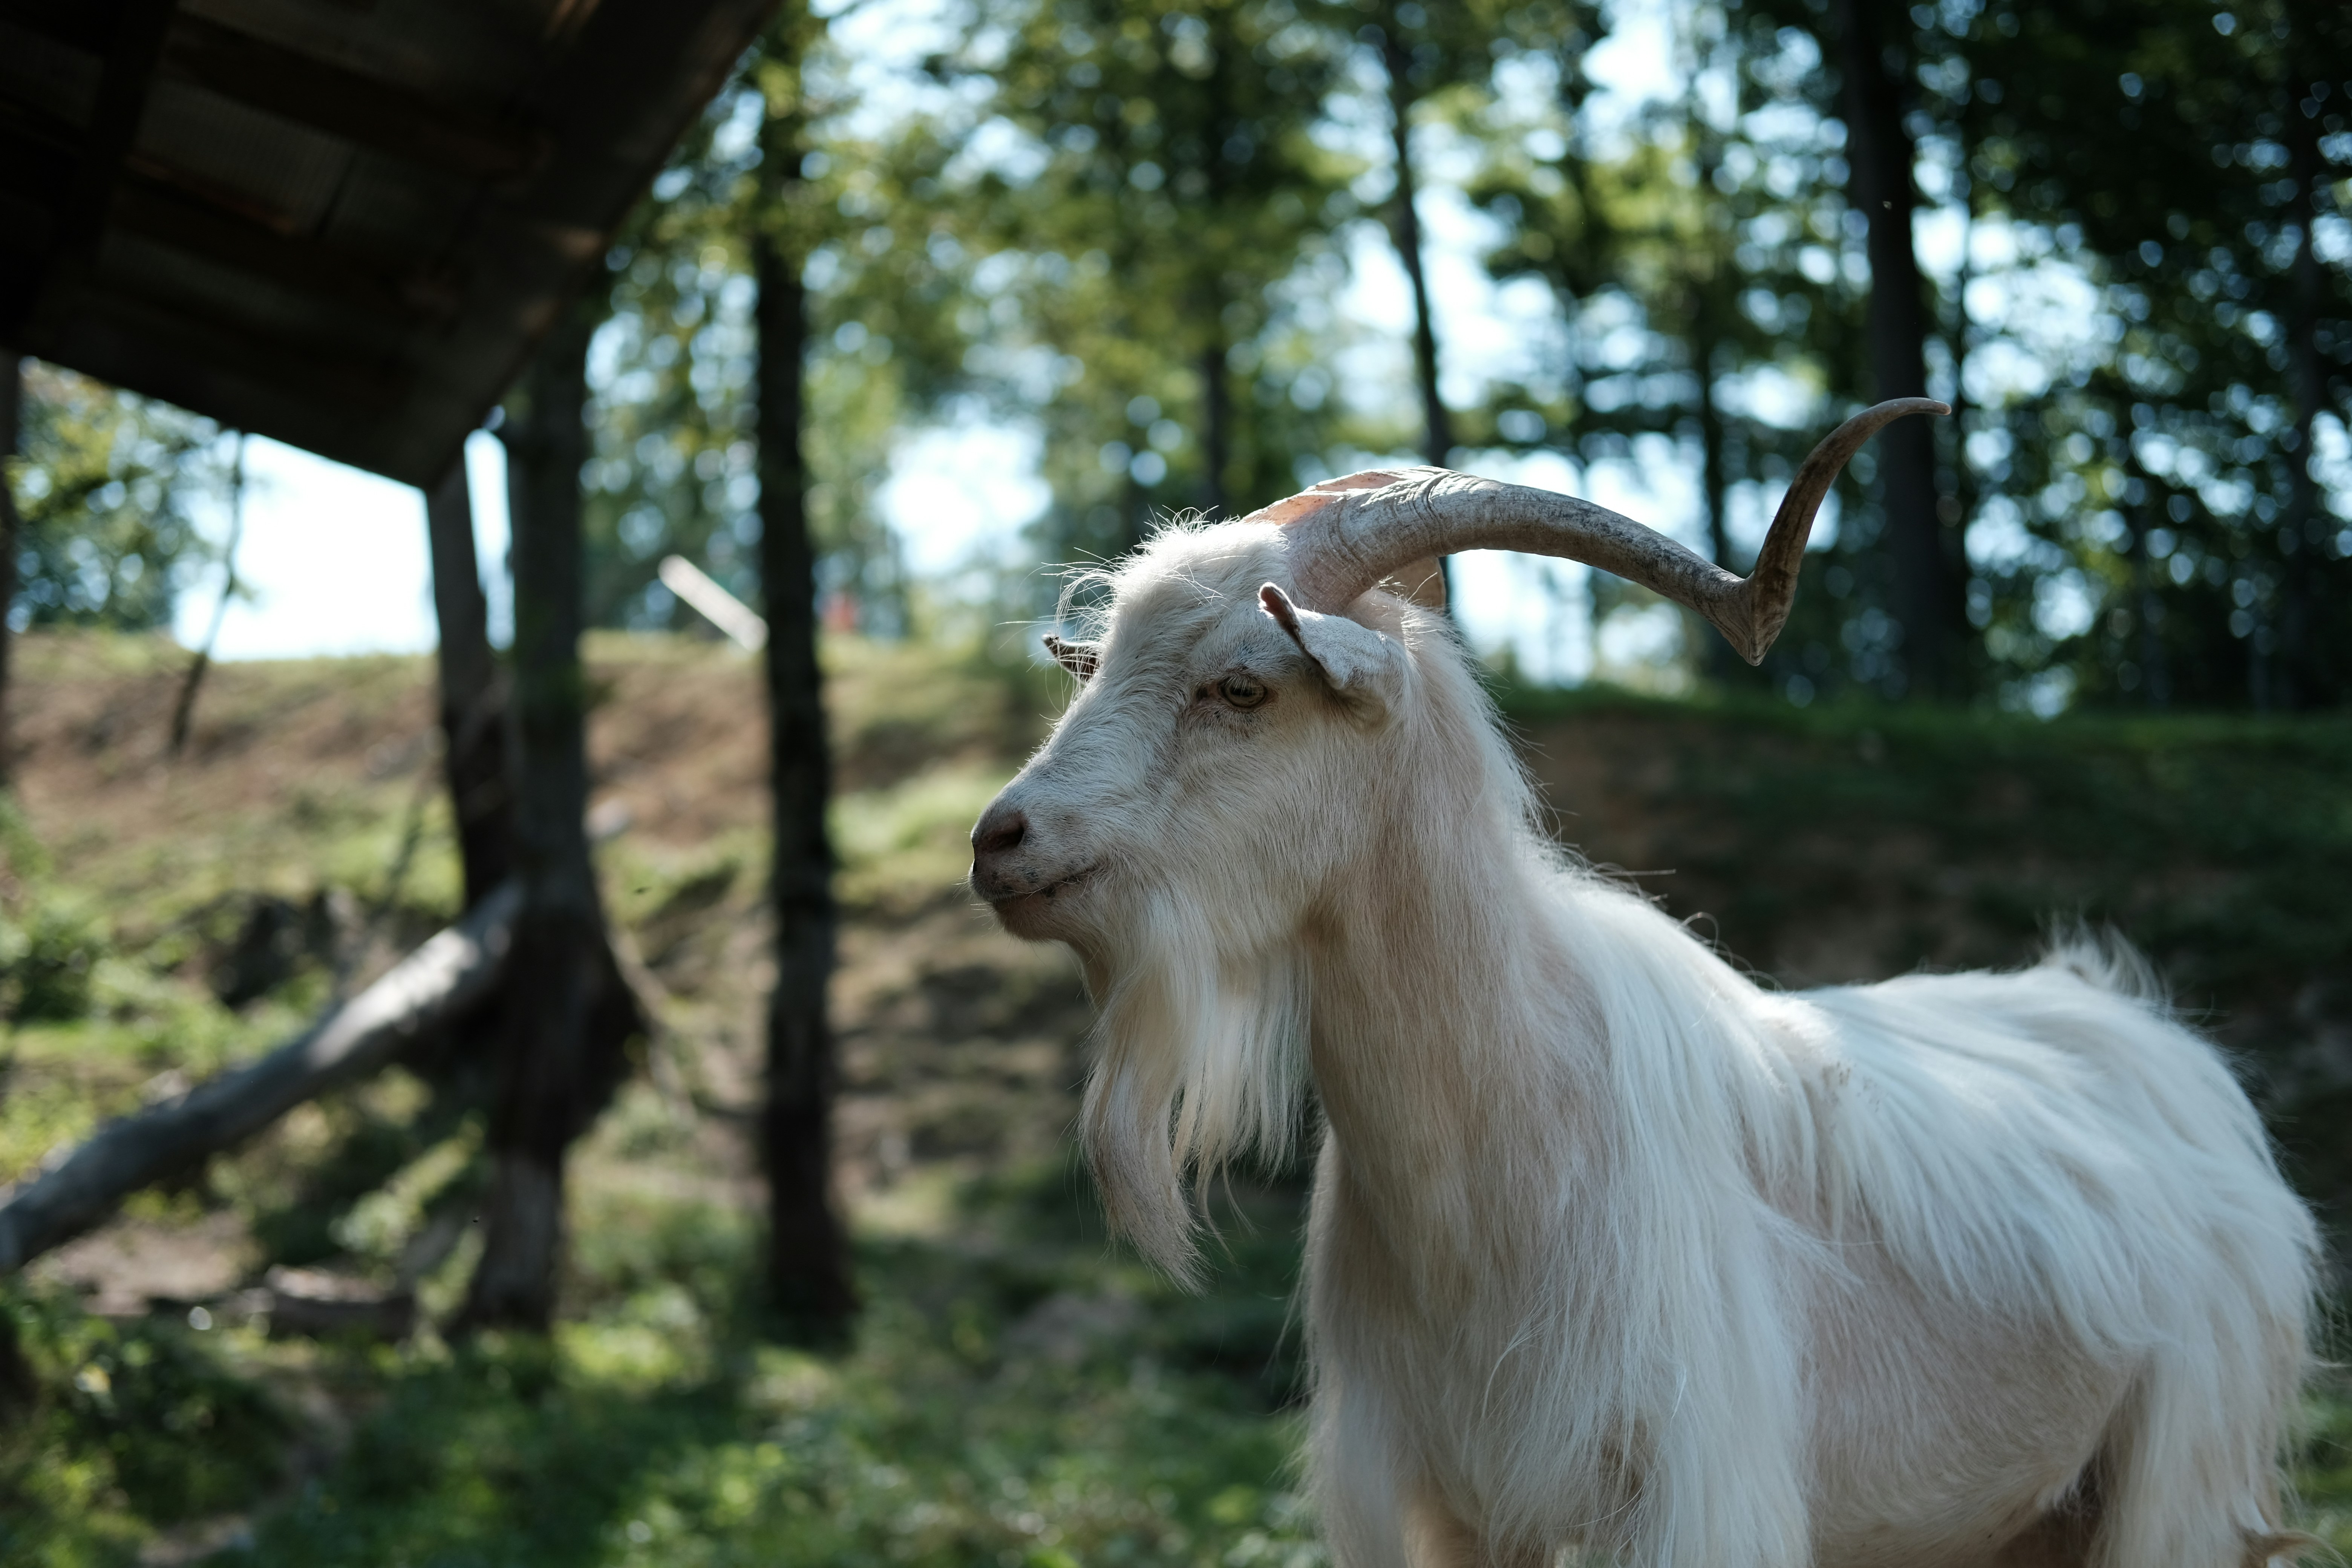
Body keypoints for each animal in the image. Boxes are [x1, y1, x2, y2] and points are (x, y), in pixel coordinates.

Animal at [968, 401, 2319, 1568]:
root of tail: (2154, 1039)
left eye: (1241, 685)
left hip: (2177, 1492)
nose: (1001, 842)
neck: (1492, 1165)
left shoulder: (1689, 1499)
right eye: (1101, 668)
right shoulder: (1452, 1511)